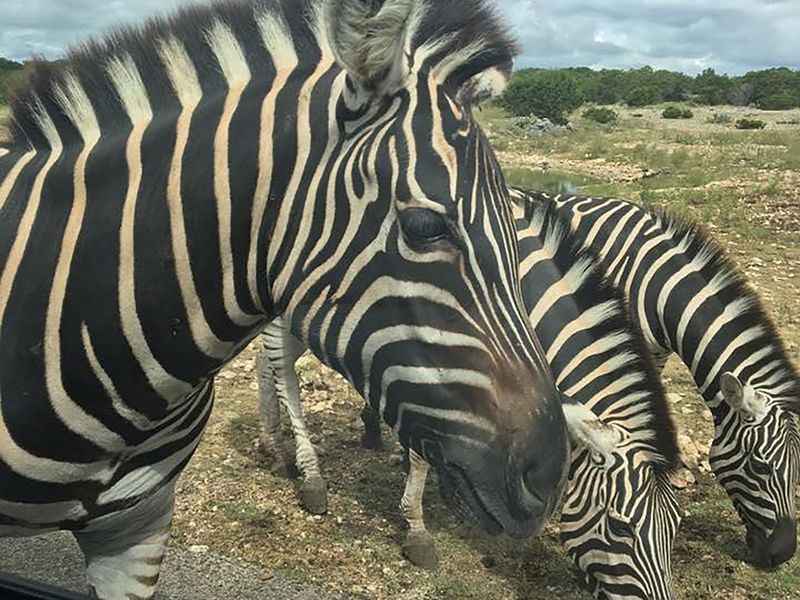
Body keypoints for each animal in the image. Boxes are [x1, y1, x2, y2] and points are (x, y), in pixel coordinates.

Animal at [257, 201, 682, 598]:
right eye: (620, 527)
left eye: (674, 528)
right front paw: (417, 531)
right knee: (284, 370)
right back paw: (311, 477)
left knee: (268, 363)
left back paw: (273, 449)